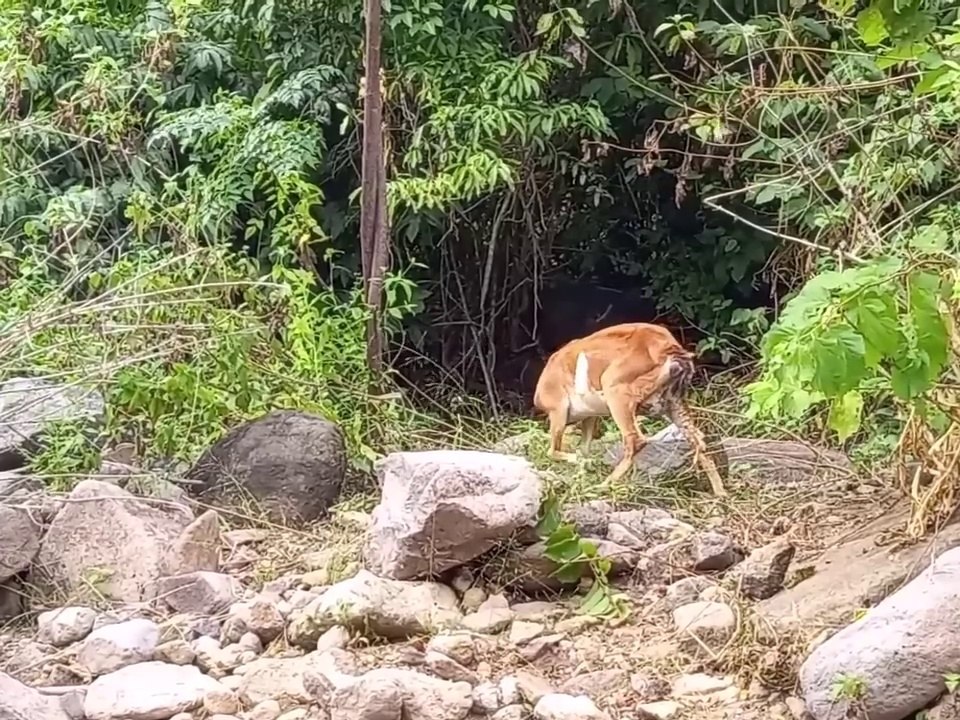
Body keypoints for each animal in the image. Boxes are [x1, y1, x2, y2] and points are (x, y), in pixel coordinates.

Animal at [532, 322, 727, 496]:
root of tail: (672, 351)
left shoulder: (558, 410)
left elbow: (554, 451)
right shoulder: (590, 416)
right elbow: (584, 449)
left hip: (615, 391)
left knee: (636, 439)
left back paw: (604, 485)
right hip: (673, 403)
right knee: (699, 441)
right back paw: (720, 493)